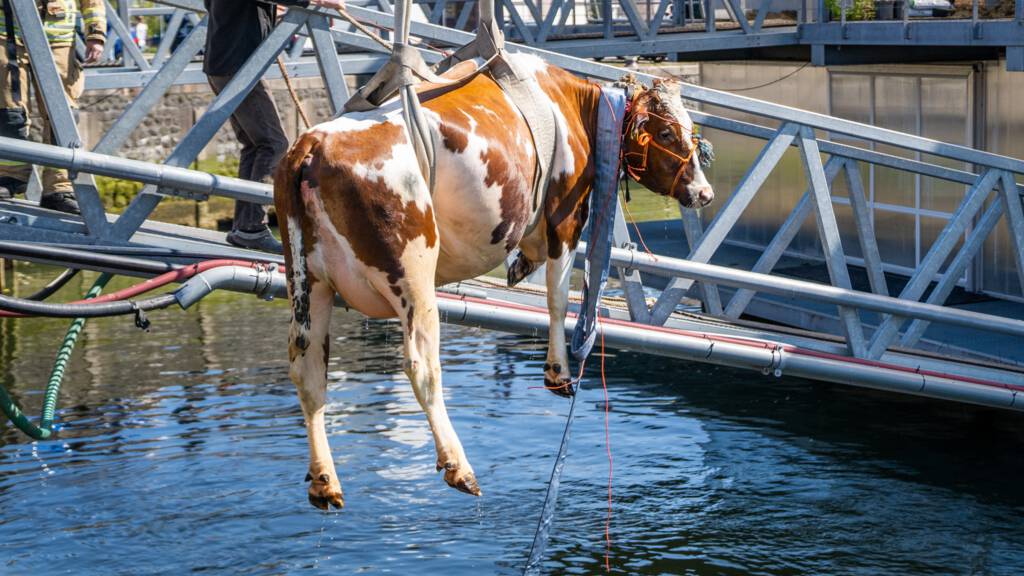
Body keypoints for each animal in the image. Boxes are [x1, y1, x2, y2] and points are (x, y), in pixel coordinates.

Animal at [274, 54, 714, 510]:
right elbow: (558, 298)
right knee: (421, 366)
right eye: (666, 132)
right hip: (413, 275)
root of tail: (312, 144)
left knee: (308, 370)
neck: (569, 102)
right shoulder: (565, 217)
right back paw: (458, 465)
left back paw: (324, 480)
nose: (705, 193)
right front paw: (558, 371)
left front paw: (520, 267)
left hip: (311, 283)